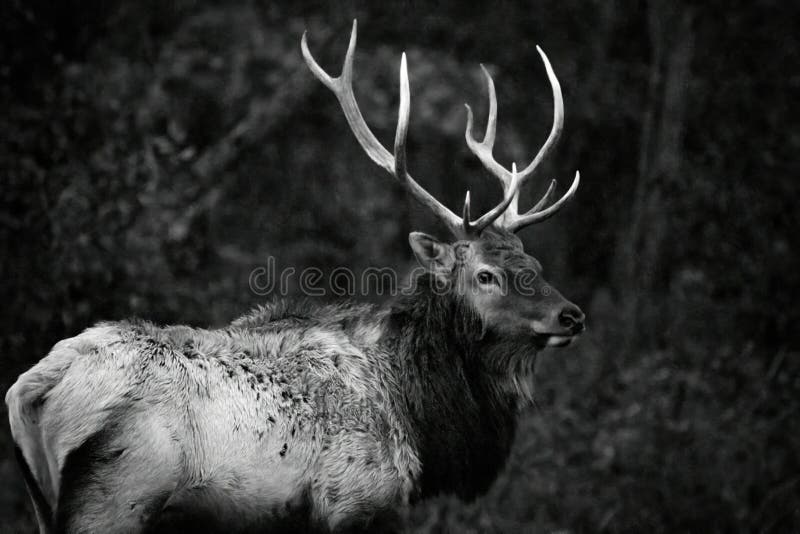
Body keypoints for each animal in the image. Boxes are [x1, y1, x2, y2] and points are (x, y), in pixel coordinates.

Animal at [6, 20, 584, 534]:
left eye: (533, 265)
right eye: (486, 275)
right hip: (118, 495)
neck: (419, 419)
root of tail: (33, 385)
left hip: (45, 504)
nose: (571, 315)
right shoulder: (355, 502)